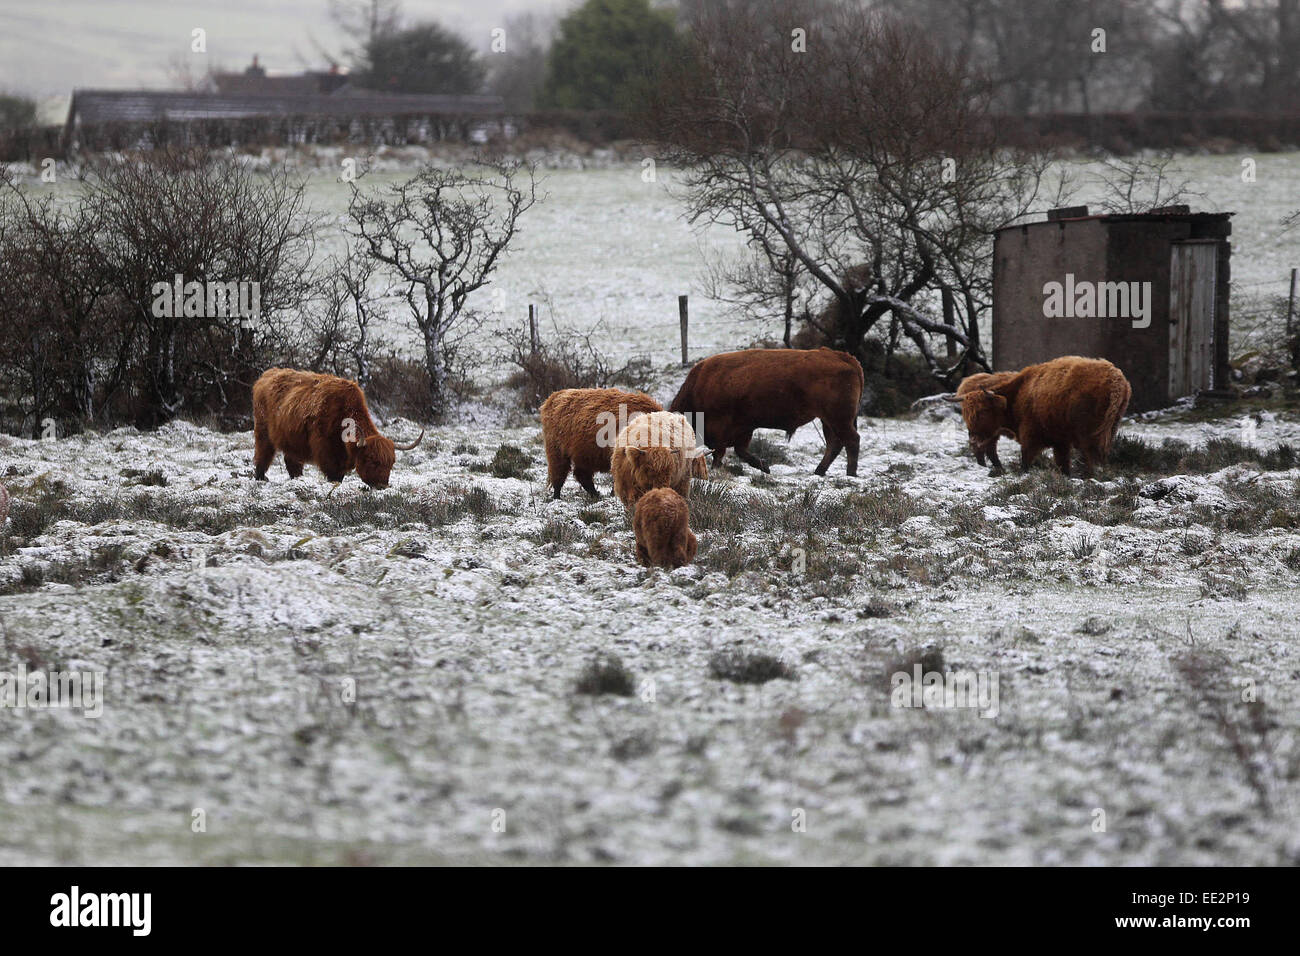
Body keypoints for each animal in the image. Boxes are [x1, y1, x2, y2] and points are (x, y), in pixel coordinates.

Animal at [252, 368, 423, 489]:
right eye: (372, 459)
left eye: (392, 463)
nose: (382, 486)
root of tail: (266, 375)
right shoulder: (326, 450)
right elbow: (334, 474)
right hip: (263, 433)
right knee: (262, 456)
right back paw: (261, 478)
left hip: (292, 440)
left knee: (291, 461)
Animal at [670, 347, 864, 476]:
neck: (700, 385)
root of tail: (843, 356)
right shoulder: (744, 428)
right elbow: (741, 451)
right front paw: (765, 466)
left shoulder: (723, 428)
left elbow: (721, 452)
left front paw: (716, 469)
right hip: (828, 420)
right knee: (835, 443)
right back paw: (819, 471)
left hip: (838, 419)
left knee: (851, 440)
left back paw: (850, 474)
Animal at [947, 356, 1131, 477]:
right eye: (966, 413)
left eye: (983, 410)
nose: (973, 438)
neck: (1019, 393)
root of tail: (1116, 378)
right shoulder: (1060, 442)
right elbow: (1062, 463)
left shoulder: (1031, 435)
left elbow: (1026, 458)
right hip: (1108, 430)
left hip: (1089, 434)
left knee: (1090, 455)